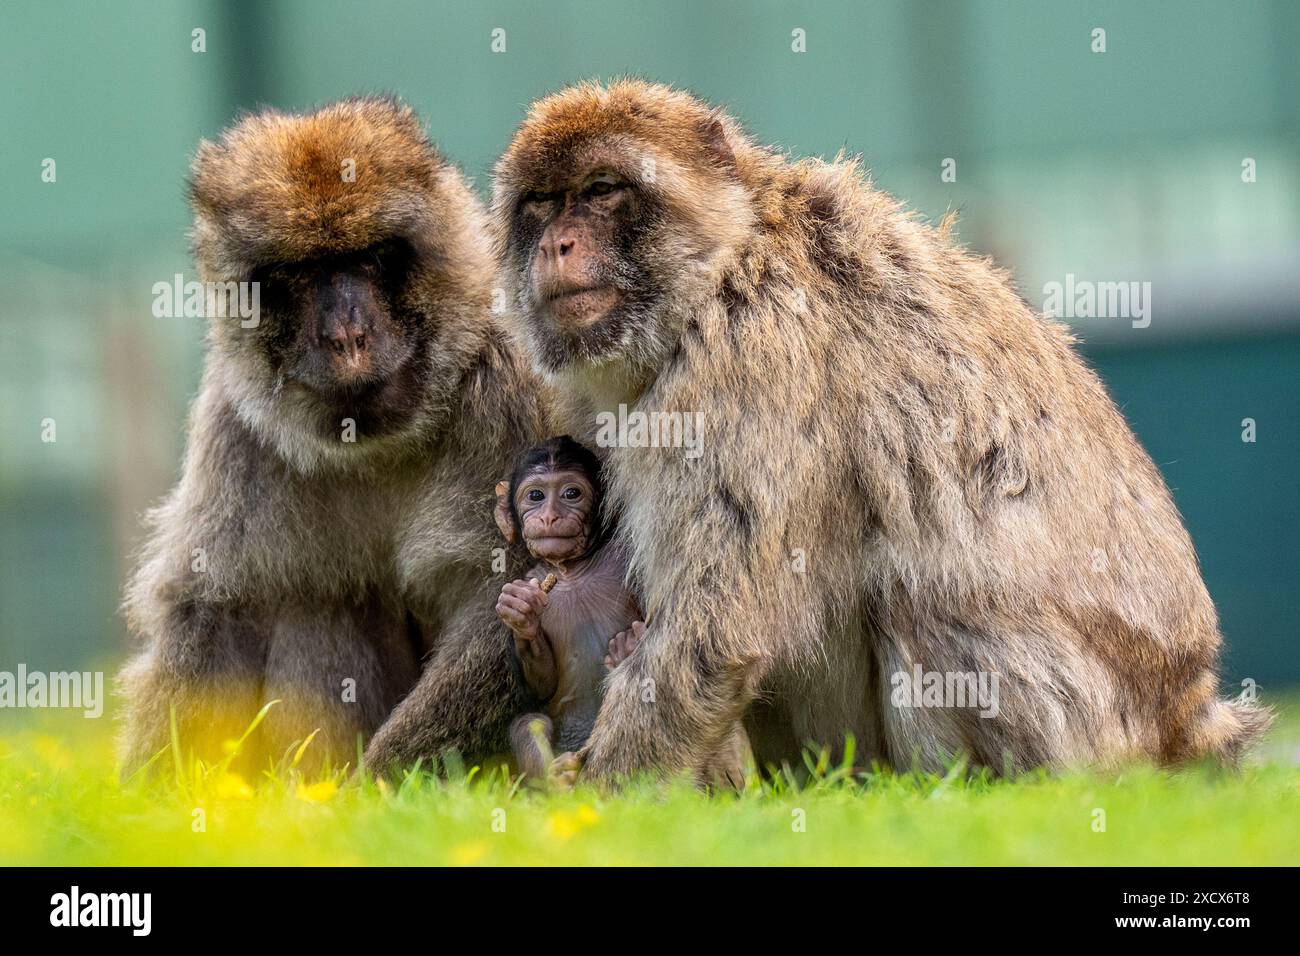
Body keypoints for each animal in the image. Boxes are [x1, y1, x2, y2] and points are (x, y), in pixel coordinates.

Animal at [118, 96, 551, 778]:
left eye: (368, 259)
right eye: (304, 273)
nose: (347, 336)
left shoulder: (513, 384)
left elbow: (516, 587)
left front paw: (379, 785)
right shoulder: (240, 426)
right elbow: (218, 606)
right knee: (316, 601)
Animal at [483, 79, 1271, 784]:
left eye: (602, 189)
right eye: (542, 202)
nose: (557, 244)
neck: (721, 265)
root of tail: (1187, 716)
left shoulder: (747, 355)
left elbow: (716, 634)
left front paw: (604, 794)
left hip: (1081, 728)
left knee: (921, 601)